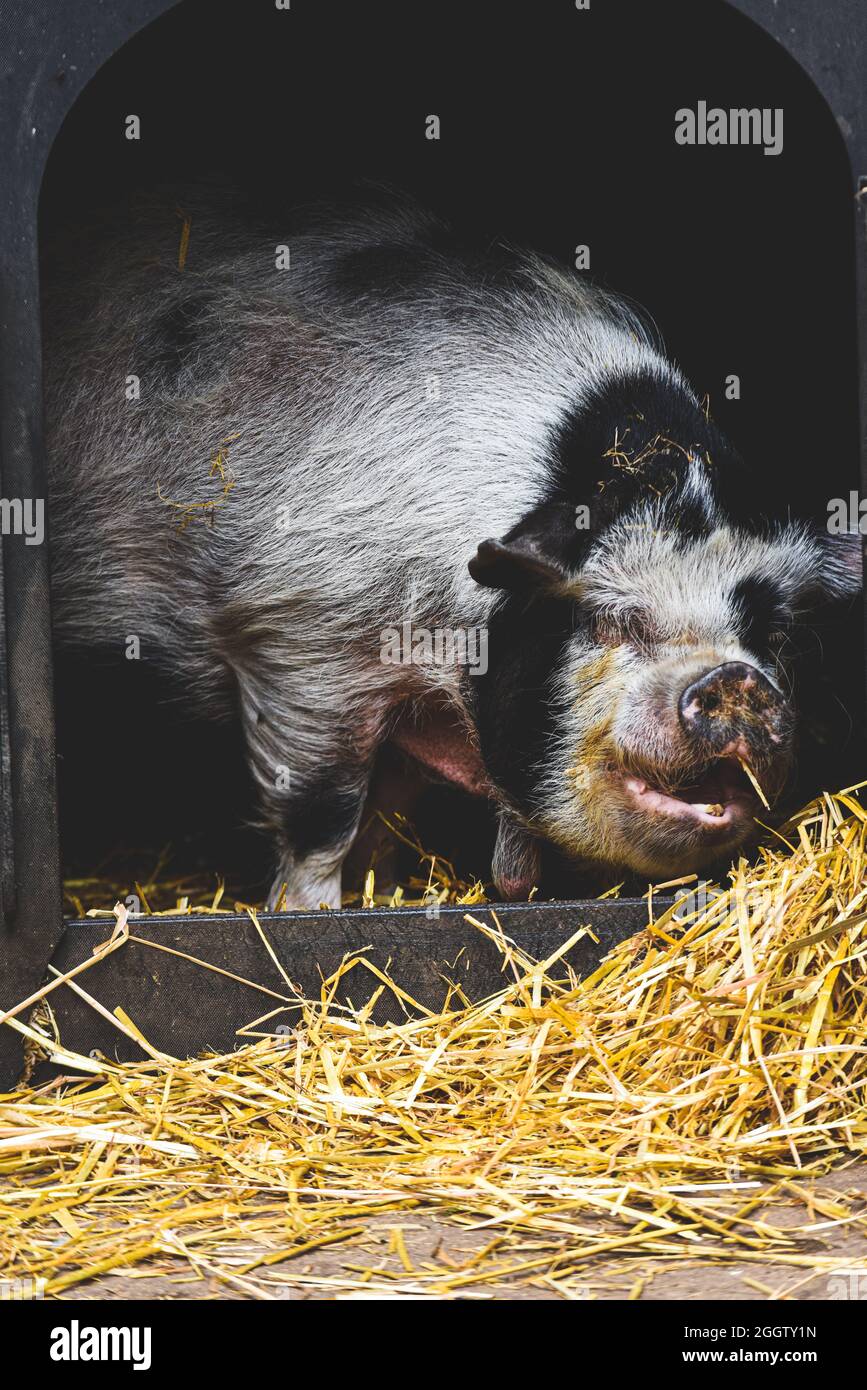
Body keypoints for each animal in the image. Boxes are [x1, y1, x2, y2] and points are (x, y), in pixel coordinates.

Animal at [41, 186, 861, 907]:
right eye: (613, 619)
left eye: (773, 633)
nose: (736, 678)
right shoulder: (297, 632)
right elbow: (323, 813)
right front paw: (313, 914)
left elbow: (387, 810)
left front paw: (388, 888)